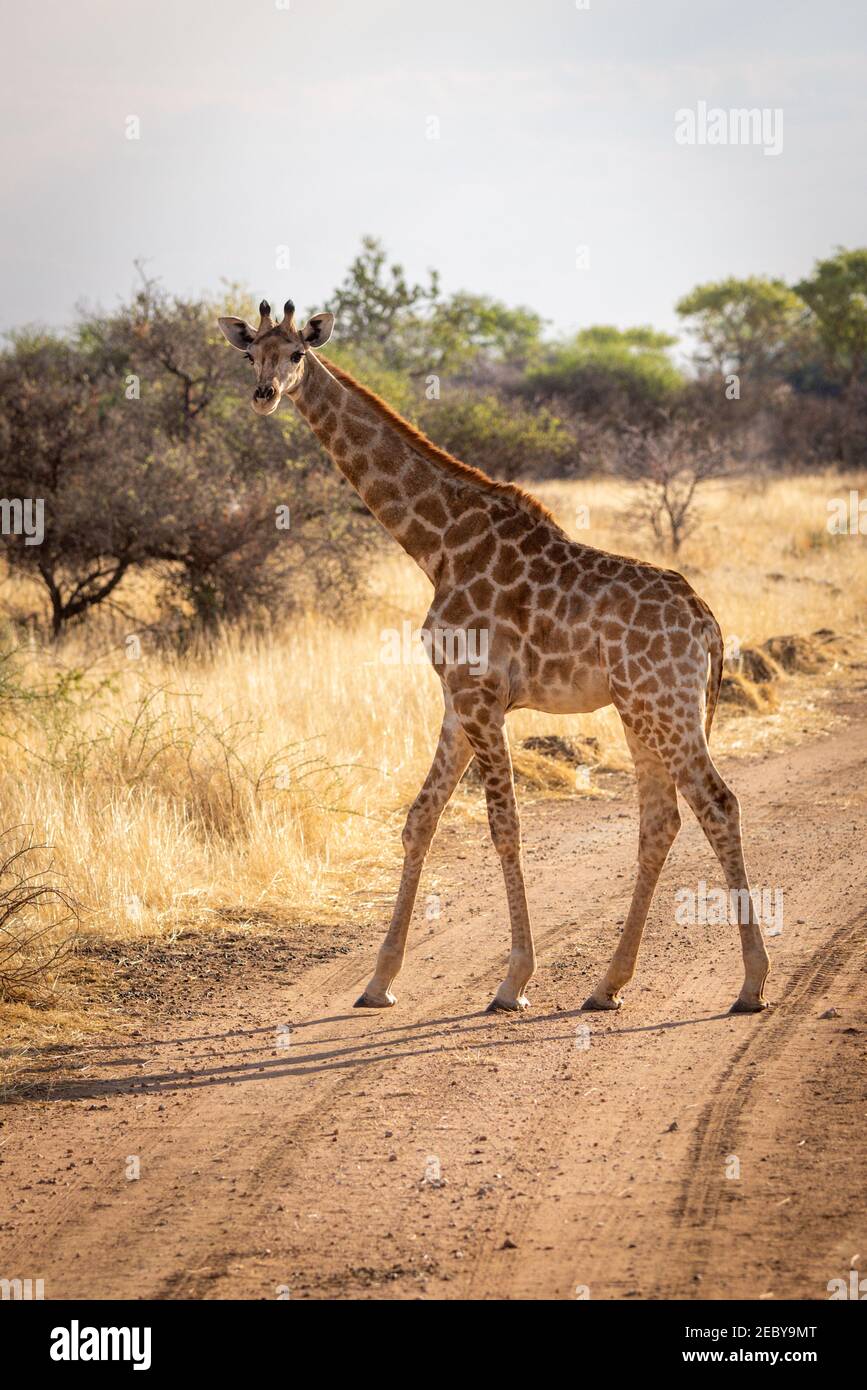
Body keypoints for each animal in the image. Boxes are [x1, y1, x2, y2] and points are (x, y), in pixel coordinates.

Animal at [218, 299, 771, 1017]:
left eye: (296, 355)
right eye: (249, 353)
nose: (264, 395)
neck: (437, 543)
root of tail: (708, 624)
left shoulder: (481, 696)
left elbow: (503, 825)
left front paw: (513, 982)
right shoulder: (459, 699)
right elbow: (419, 819)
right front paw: (379, 981)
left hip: (665, 706)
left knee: (717, 804)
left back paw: (751, 984)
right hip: (639, 710)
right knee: (661, 819)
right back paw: (607, 986)